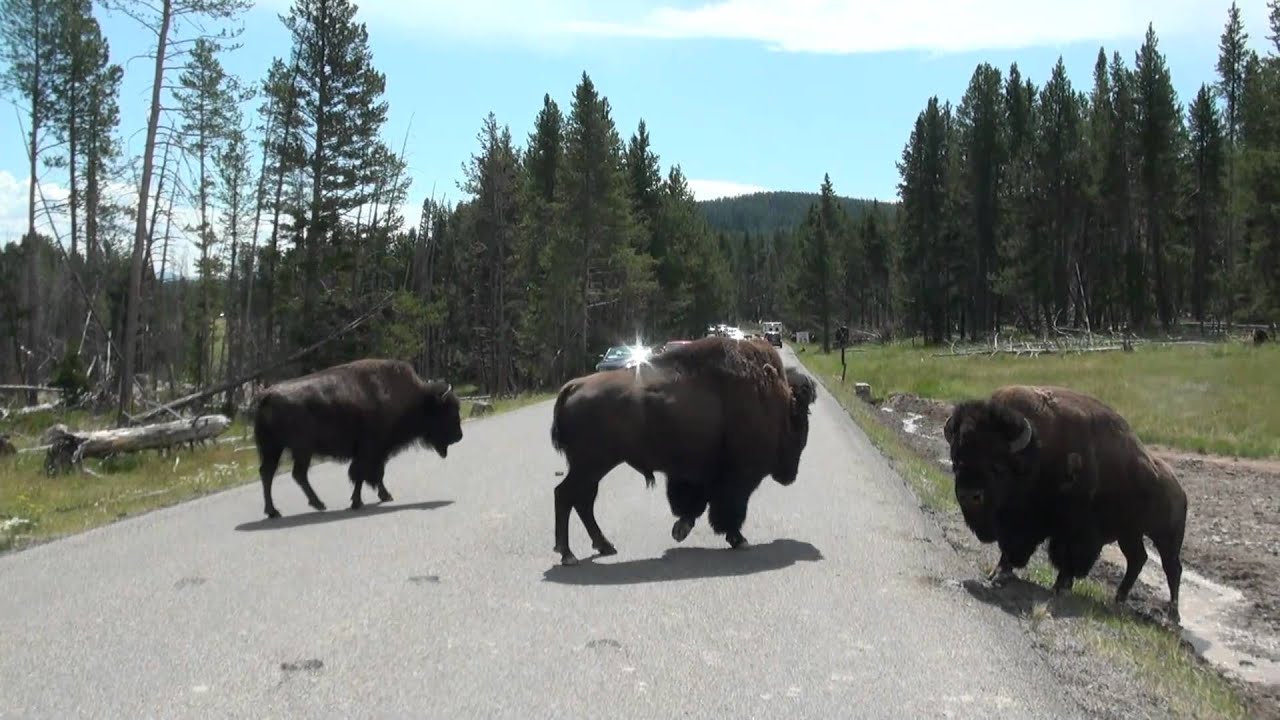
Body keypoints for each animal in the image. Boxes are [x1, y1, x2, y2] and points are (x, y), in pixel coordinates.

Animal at [252, 358, 464, 519]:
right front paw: (361, 501)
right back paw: (315, 504)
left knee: (270, 473)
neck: (416, 399)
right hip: (300, 449)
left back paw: (275, 511)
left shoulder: (374, 452)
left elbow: (372, 474)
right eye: (448, 410)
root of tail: (267, 395)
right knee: (295, 474)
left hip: (274, 448)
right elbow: (364, 474)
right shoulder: (371, 450)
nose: (459, 436)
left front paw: (381, 496)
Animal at [547, 336, 818, 566]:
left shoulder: (694, 474)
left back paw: (603, 546)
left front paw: (680, 530)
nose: (790, 475)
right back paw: (568, 554)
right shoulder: (736, 477)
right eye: (799, 420)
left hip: (591, 468)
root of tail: (574, 385)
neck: (773, 399)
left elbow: (694, 504)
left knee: (582, 501)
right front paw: (739, 539)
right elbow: (727, 508)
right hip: (591, 465)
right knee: (566, 495)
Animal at [944, 385, 1188, 623]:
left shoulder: (1075, 530)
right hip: (1129, 535)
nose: (969, 495)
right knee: (1138, 559)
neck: (1036, 454)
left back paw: (1172, 616)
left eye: (997, 466)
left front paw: (1060, 587)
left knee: (1172, 568)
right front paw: (999, 573)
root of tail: (1179, 488)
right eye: (956, 461)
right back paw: (1119, 599)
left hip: (1166, 537)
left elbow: (1068, 556)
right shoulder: (1017, 525)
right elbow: (1010, 548)